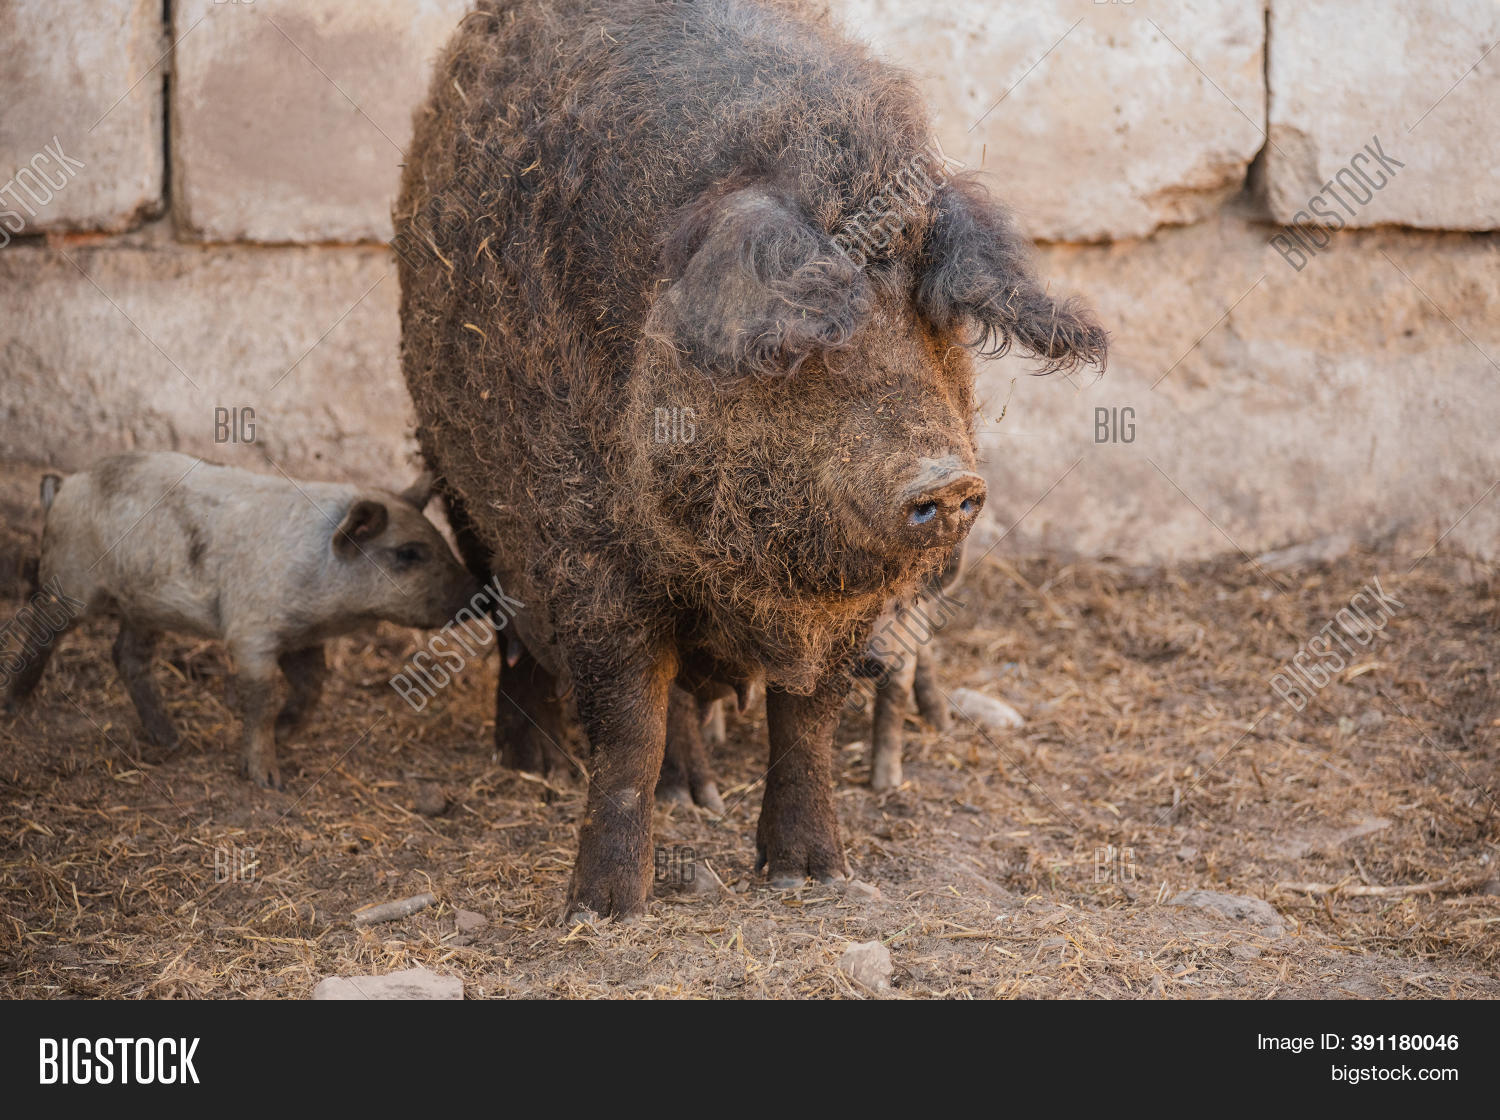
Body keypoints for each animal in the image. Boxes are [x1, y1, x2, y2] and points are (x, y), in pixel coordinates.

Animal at [4, 452, 479, 789]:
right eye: (408, 553)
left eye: (439, 541)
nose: (477, 594)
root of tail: (66, 483)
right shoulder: (251, 631)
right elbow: (262, 698)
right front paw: (268, 780)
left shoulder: (301, 638)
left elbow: (314, 684)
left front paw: (286, 732)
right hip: (69, 581)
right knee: (40, 633)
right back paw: (13, 707)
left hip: (144, 605)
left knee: (126, 655)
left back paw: (170, 739)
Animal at [396, 0, 1105, 918]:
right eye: (807, 336)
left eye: (932, 316)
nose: (948, 483)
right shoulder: (586, 543)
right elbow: (628, 720)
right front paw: (602, 910)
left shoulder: (843, 602)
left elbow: (807, 718)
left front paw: (814, 875)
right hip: (451, 463)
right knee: (510, 619)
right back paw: (550, 766)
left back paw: (694, 790)